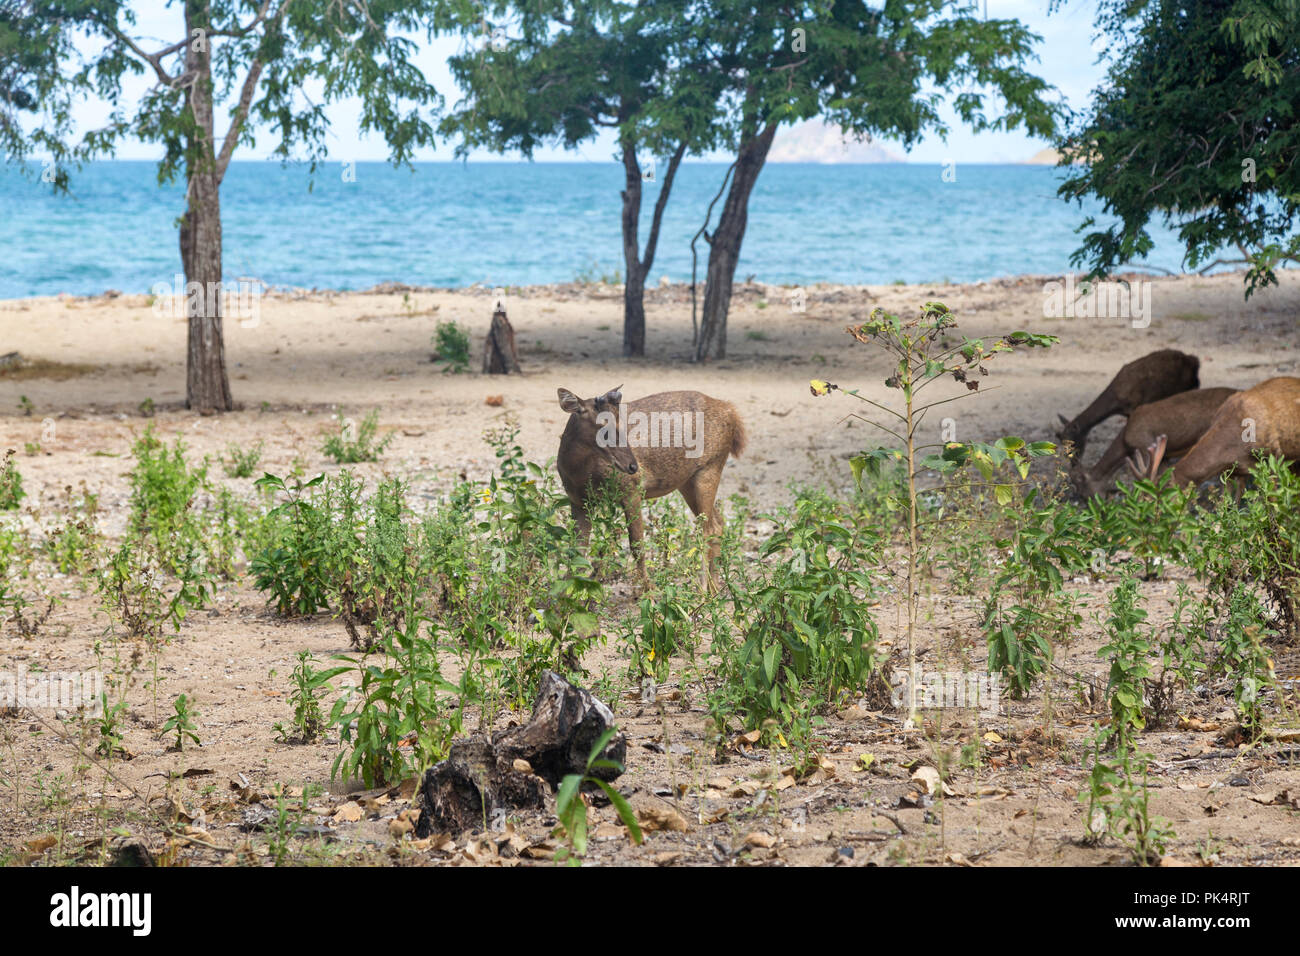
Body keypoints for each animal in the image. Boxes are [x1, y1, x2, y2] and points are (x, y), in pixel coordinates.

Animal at [556, 386, 747, 591]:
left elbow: (637, 544)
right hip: (687, 481)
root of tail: (732, 412)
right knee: (718, 522)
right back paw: (715, 589)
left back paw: (703, 588)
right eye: (603, 426)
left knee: (707, 529)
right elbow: (577, 550)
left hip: (710, 467)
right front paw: (565, 592)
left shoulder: (631, 490)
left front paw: (648, 590)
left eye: (623, 424)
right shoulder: (578, 500)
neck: (579, 474)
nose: (633, 466)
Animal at [1057, 349, 1200, 456]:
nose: (1073, 463)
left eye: (1073, 443)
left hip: (1189, 387)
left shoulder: (1136, 407)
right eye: (1062, 440)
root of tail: (1194, 361)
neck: (1117, 403)